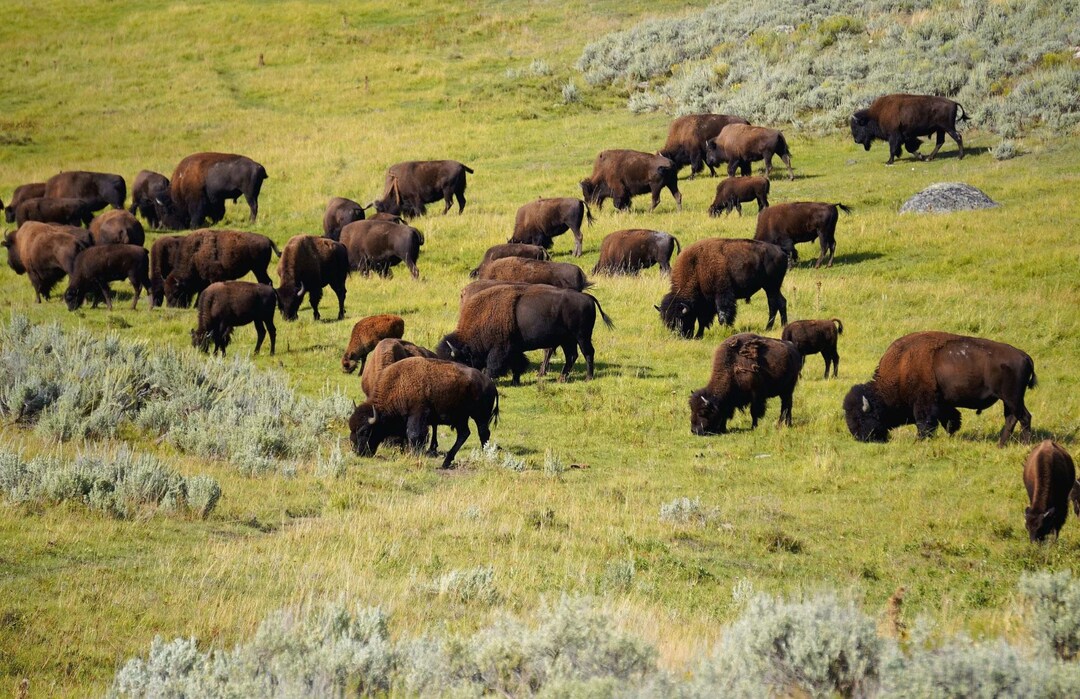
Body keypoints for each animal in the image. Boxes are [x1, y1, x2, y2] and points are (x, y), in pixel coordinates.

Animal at [657, 238, 789, 338]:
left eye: (680, 318)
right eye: (667, 322)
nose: (679, 336)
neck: (696, 267)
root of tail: (781, 251)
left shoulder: (722, 295)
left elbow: (723, 315)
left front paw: (726, 330)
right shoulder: (705, 302)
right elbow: (702, 320)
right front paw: (699, 335)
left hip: (771, 287)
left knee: (773, 305)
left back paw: (769, 328)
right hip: (773, 288)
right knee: (781, 302)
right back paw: (783, 325)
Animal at [843, 331, 1036, 447]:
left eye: (860, 418)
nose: (859, 438)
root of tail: (1024, 356)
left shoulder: (924, 403)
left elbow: (924, 423)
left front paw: (919, 440)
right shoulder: (942, 404)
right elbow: (950, 419)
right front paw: (952, 433)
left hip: (1012, 398)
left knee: (1024, 417)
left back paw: (1025, 444)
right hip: (1008, 400)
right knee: (1011, 419)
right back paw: (1000, 444)